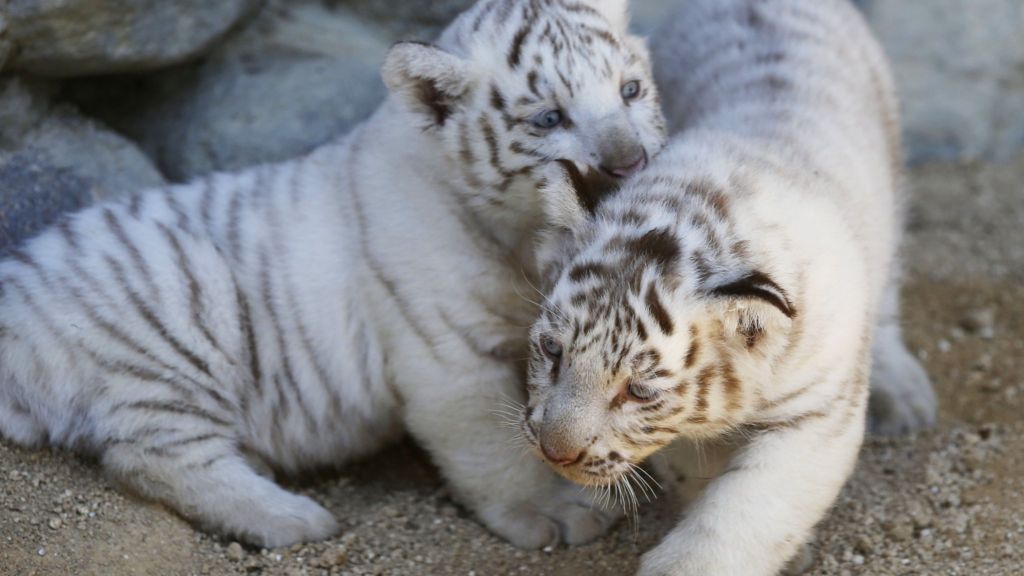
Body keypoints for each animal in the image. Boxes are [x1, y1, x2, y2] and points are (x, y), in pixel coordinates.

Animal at [0, 0, 666, 548]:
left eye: (631, 90)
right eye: (550, 118)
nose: (631, 161)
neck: (518, 232)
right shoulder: (450, 355)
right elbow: (490, 441)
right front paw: (552, 509)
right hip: (174, 326)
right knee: (150, 455)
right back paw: (293, 518)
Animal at [519, 0, 931, 574]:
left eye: (638, 391)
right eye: (552, 352)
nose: (555, 453)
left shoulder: (820, 410)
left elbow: (745, 509)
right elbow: (701, 473)